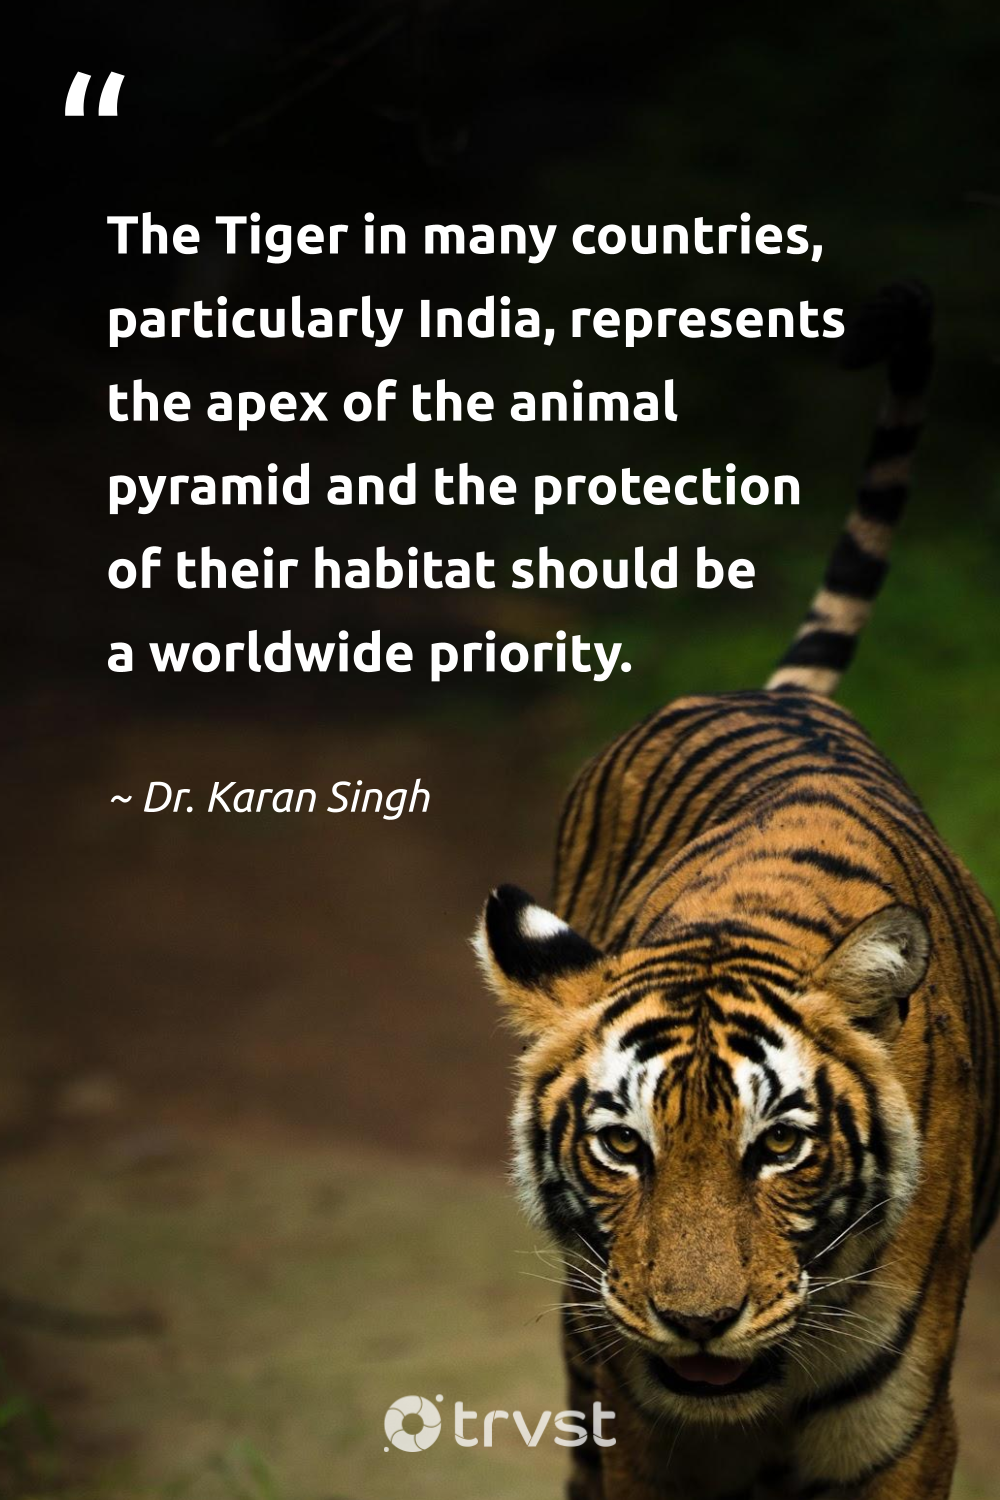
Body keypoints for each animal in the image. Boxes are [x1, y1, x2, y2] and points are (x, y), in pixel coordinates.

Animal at [474, 282, 1000, 1500]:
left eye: (782, 1148)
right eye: (624, 1148)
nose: (697, 1322)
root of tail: (775, 693)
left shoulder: (903, 1434)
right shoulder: (643, 1430)